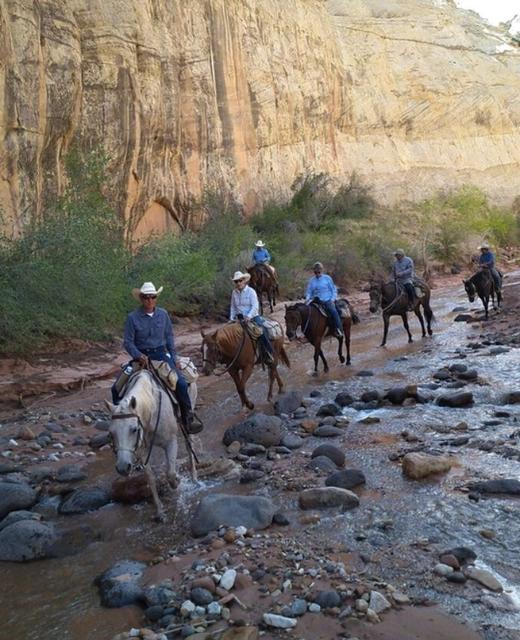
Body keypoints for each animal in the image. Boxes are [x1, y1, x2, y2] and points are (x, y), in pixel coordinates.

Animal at [105, 369, 198, 521]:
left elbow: (170, 474)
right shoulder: (142, 450)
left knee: (189, 445)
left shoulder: (171, 442)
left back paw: (195, 479)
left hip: (187, 419)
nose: (123, 467)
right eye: (111, 433)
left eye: (134, 429)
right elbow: (150, 479)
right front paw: (160, 512)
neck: (151, 410)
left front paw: (178, 481)